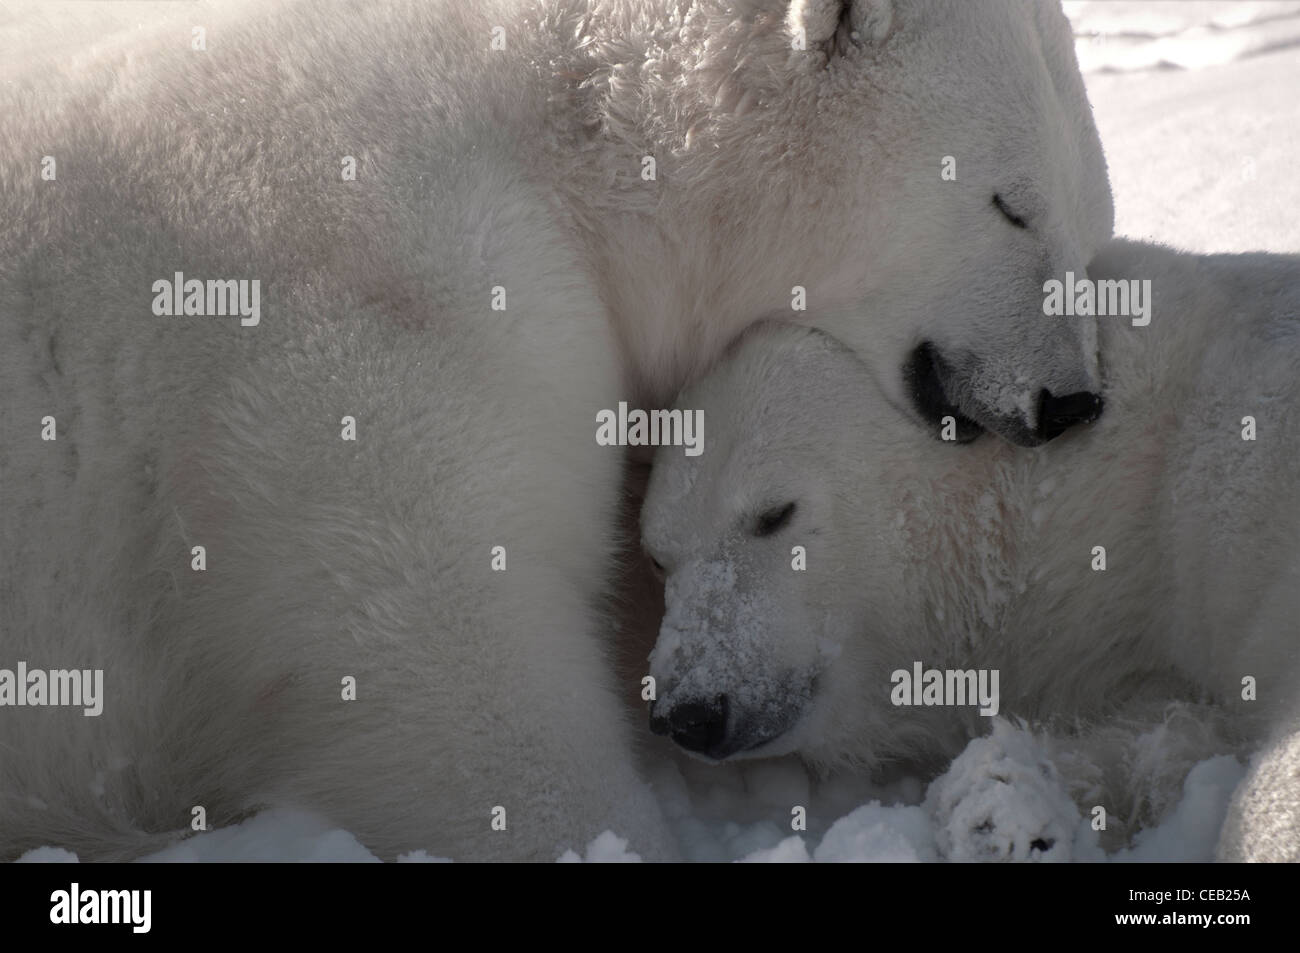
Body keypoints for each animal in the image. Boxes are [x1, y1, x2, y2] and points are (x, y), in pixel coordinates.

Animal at [1, 0, 1111, 860]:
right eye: (1011, 204)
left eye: (1089, 209)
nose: (1072, 400)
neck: (554, 134)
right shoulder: (374, 334)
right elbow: (442, 660)